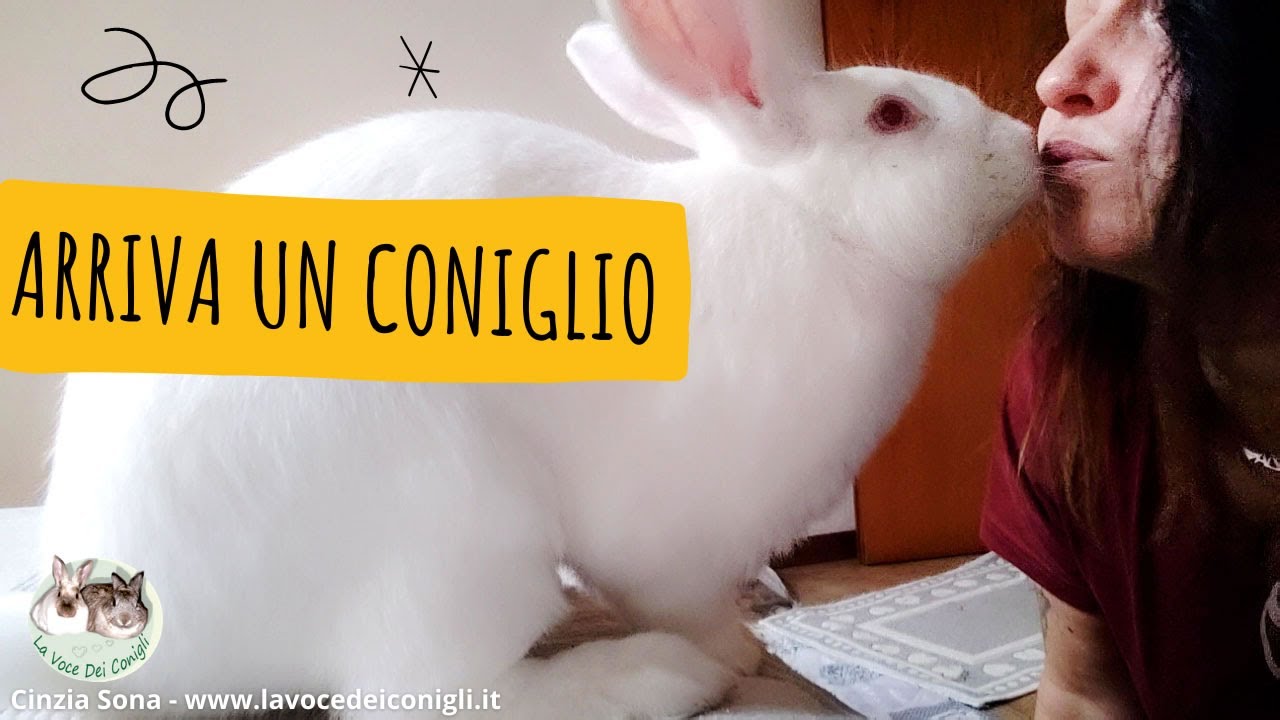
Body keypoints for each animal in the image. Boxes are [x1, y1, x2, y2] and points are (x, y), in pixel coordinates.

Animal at [0, 0, 1037, 717]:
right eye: (894, 115)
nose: (1030, 143)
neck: (815, 222)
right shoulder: (673, 537)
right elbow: (683, 598)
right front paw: (739, 653)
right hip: (456, 539)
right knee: (435, 696)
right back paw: (657, 678)